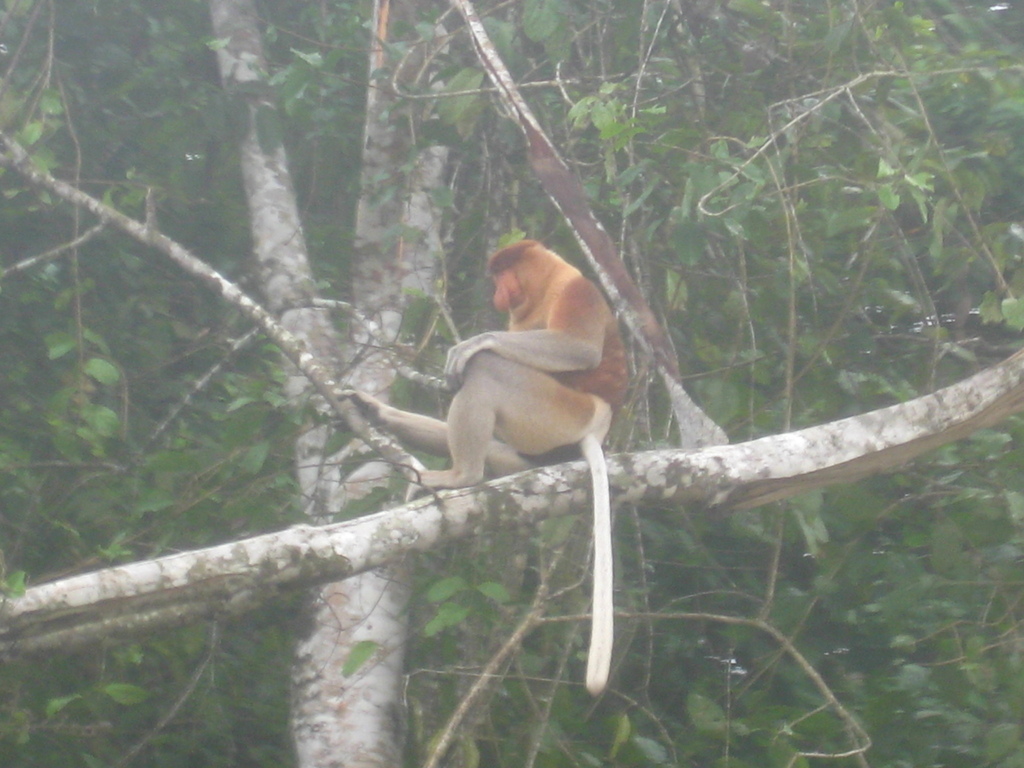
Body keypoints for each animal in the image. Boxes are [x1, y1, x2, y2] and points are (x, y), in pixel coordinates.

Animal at [353, 240, 627, 695]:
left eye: (503, 272)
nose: (498, 291)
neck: (548, 283)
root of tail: (599, 423)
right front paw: (372, 410)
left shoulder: (579, 293)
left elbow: (577, 348)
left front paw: (472, 344)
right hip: (536, 444)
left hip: (558, 414)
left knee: (487, 369)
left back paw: (459, 476)